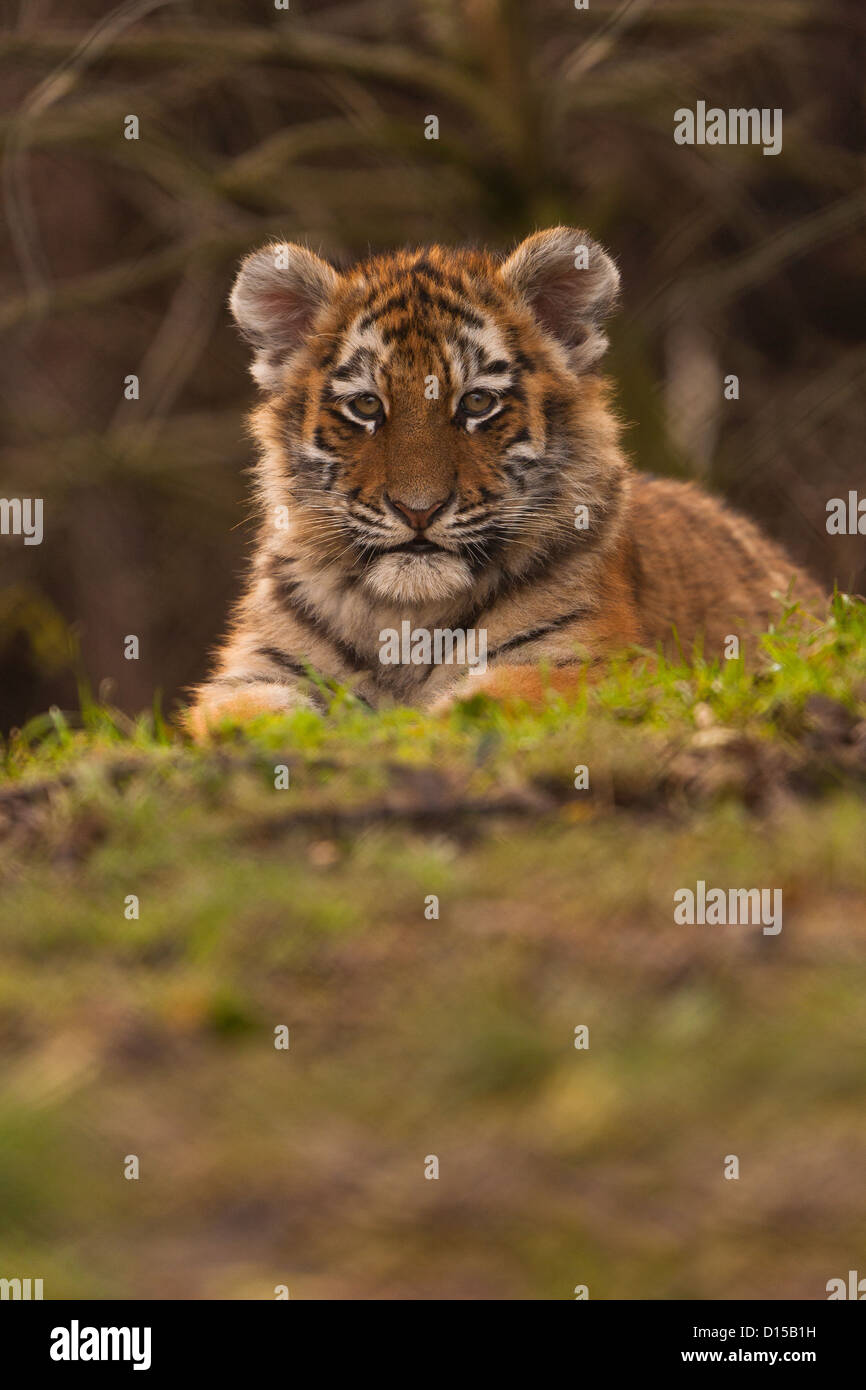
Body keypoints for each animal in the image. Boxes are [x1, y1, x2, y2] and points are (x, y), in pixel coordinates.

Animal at [186, 226, 823, 736]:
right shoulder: (251, 672)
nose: (418, 510)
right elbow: (250, 713)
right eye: (367, 405)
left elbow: (484, 702)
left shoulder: (587, 663)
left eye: (477, 403)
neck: (405, 616)